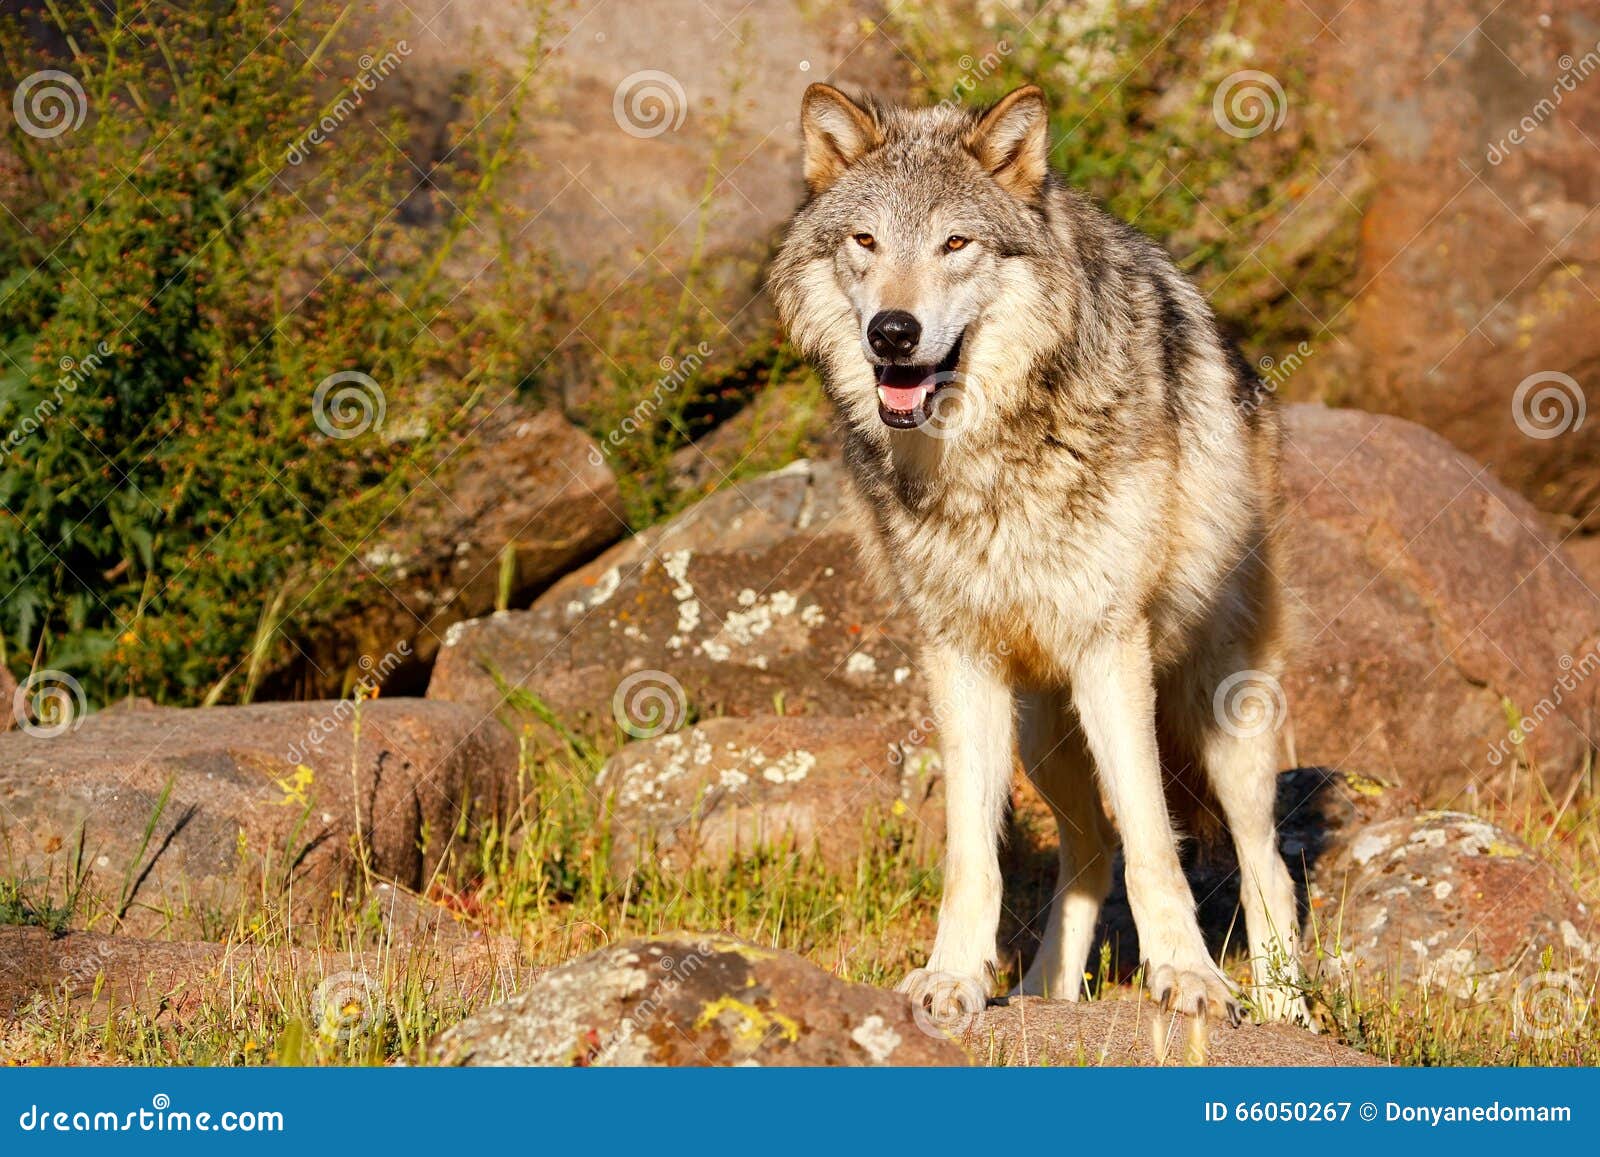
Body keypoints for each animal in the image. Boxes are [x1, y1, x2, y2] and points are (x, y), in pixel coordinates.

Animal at [769, 83, 1307, 1026]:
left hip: (1218, 706)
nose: (893, 331)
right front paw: (951, 977)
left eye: (956, 244)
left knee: (1258, 854)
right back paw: (1046, 993)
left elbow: (1155, 837)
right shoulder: (958, 659)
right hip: (1043, 732)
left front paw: (1189, 978)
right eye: (865, 241)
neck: (984, 458)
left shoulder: (1110, 646)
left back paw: (1285, 1007)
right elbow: (971, 855)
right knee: (1088, 854)